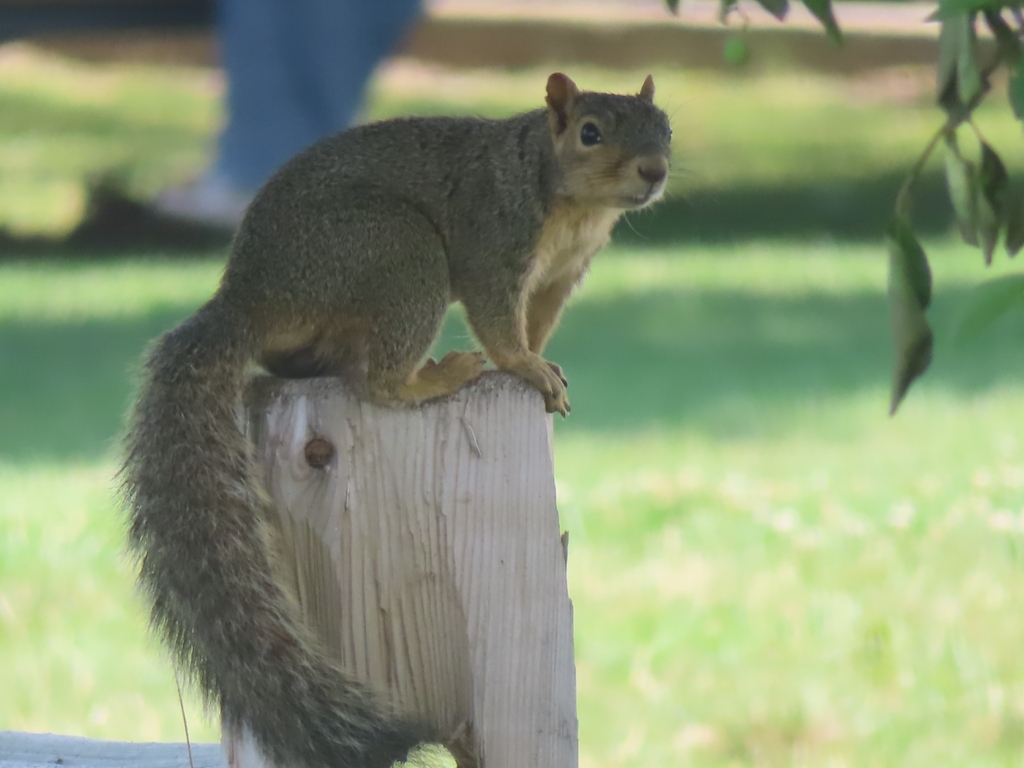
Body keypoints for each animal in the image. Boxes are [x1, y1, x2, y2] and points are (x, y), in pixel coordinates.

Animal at [122, 73, 671, 768]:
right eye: (590, 132)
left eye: (666, 125)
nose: (653, 170)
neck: (569, 201)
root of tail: (248, 299)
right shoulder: (491, 242)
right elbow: (499, 323)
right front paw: (524, 366)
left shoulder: (562, 272)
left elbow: (538, 321)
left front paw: (543, 365)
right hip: (400, 253)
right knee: (375, 381)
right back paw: (434, 375)